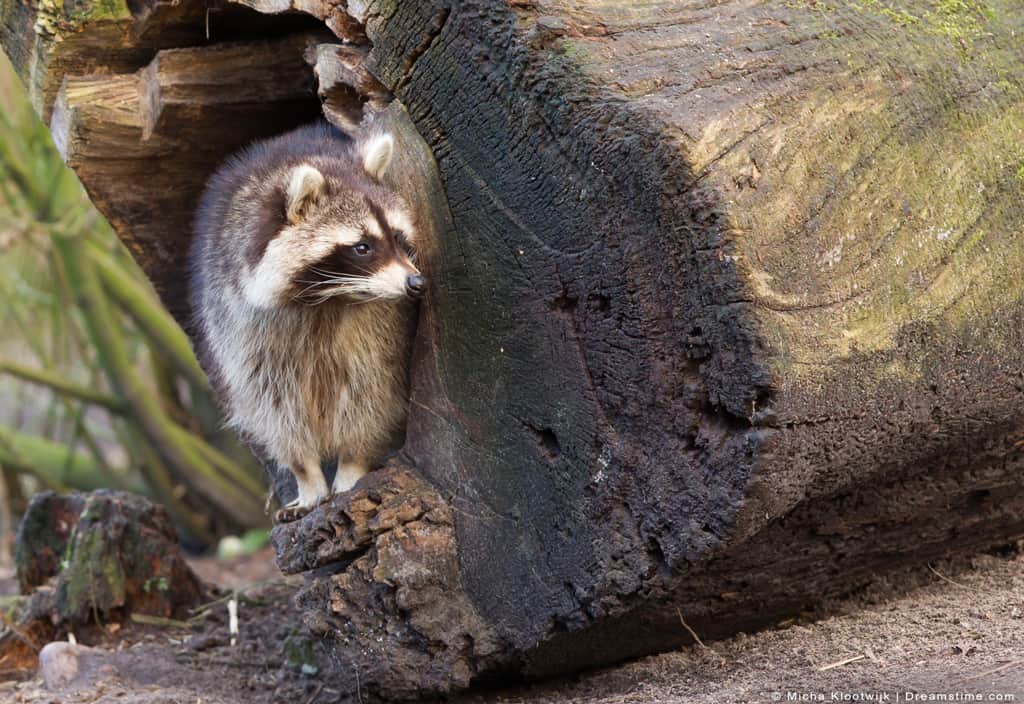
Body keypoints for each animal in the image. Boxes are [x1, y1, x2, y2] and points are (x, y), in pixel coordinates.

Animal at [189, 122, 424, 522]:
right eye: (362, 247)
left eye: (396, 236)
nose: (416, 283)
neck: (327, 299)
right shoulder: (239, 321)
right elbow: (274, 404)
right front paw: (308, 478)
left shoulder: (381, 325)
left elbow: (372, 390)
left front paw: (351, 466)